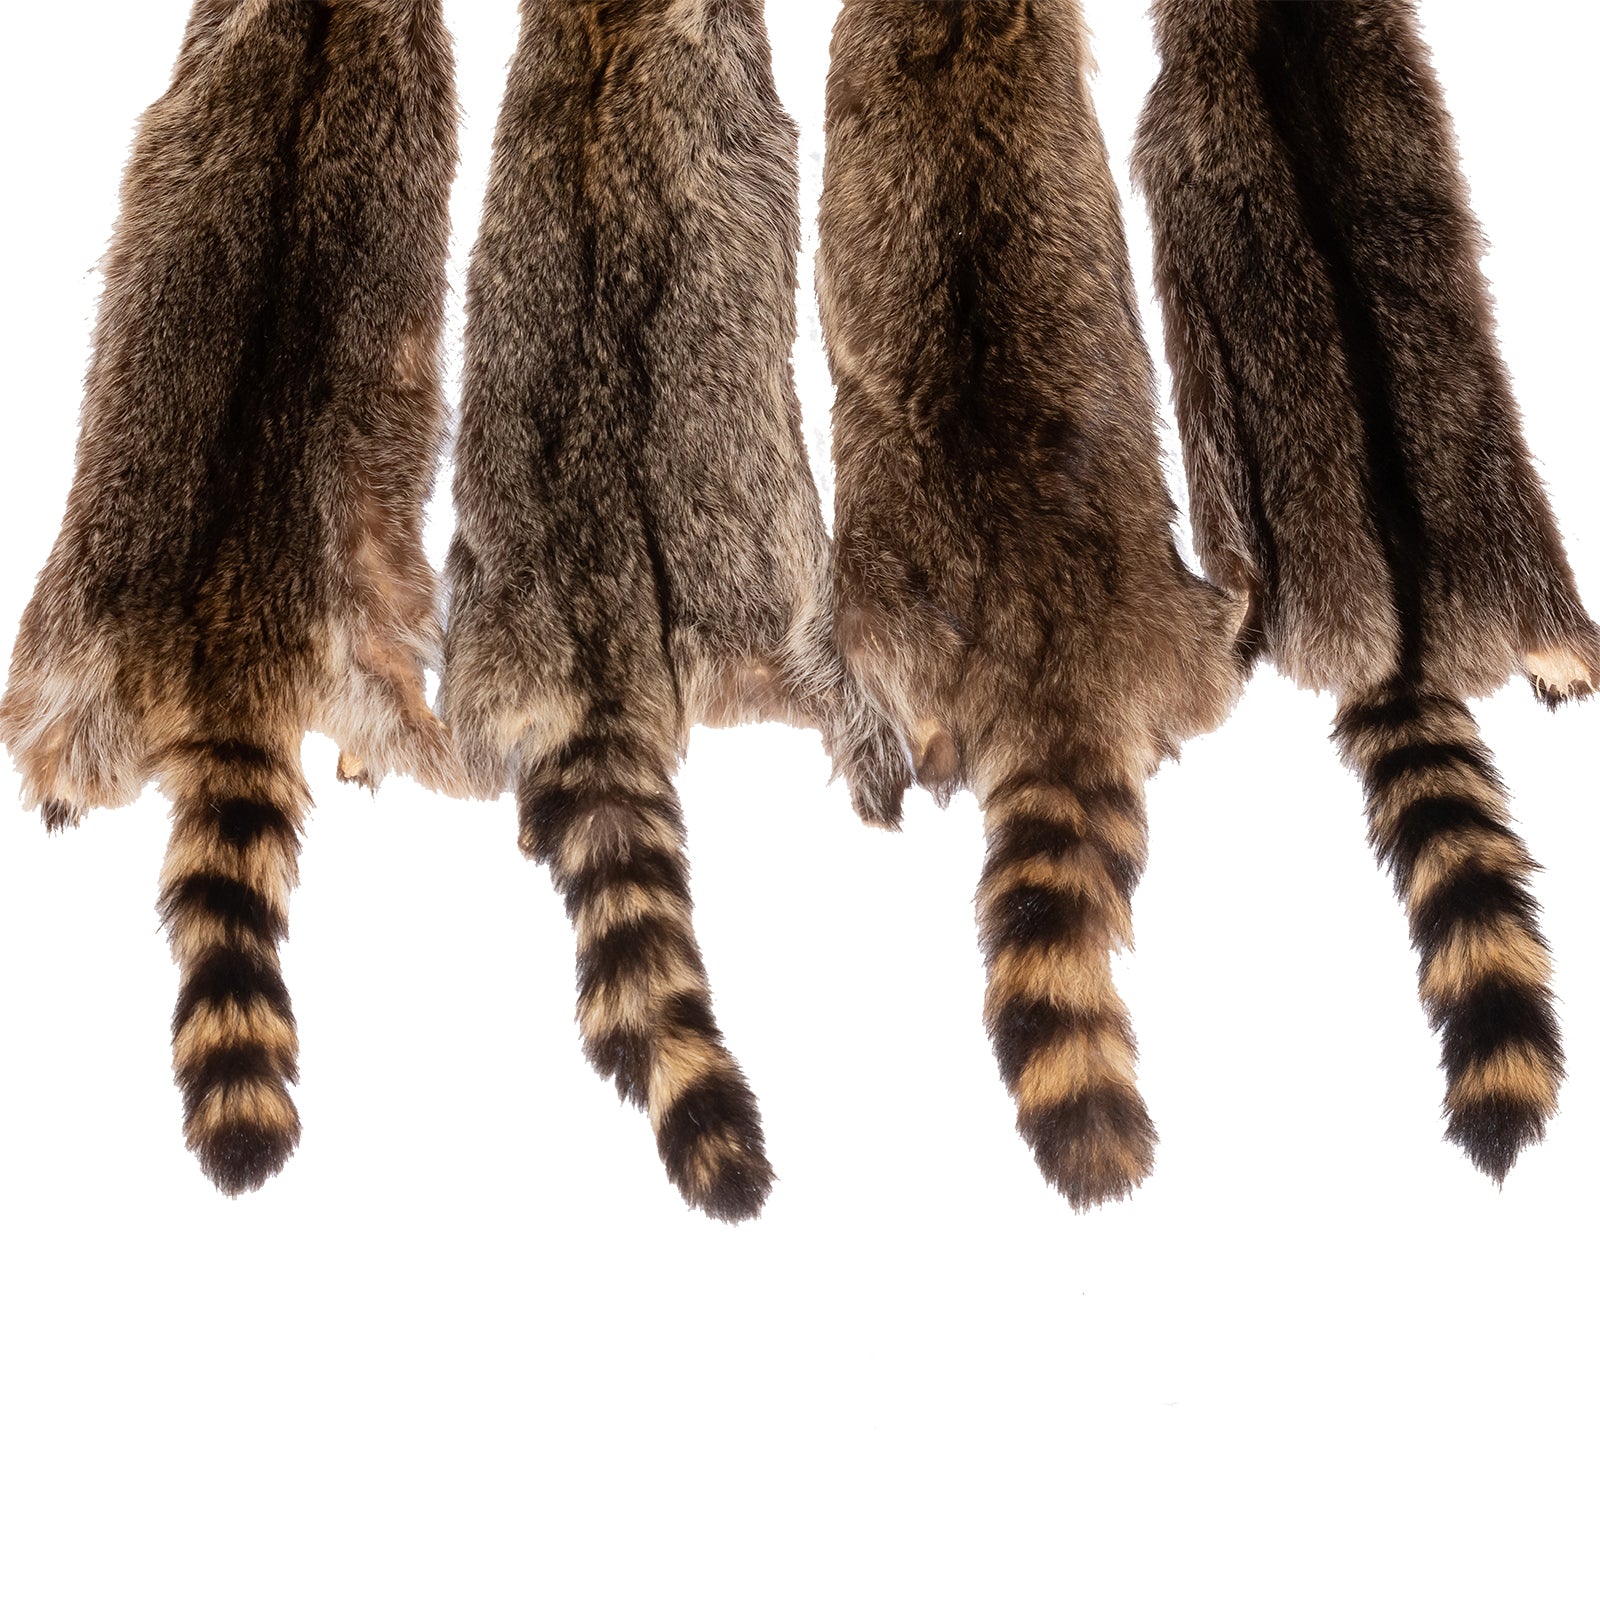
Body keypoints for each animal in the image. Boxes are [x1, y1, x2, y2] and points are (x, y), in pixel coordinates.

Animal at [437, 0, 909, 1222]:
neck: (609, 19)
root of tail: (589, 627)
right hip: (754, 534)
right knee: (806, 628)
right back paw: (860, 726)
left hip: (491, 604)